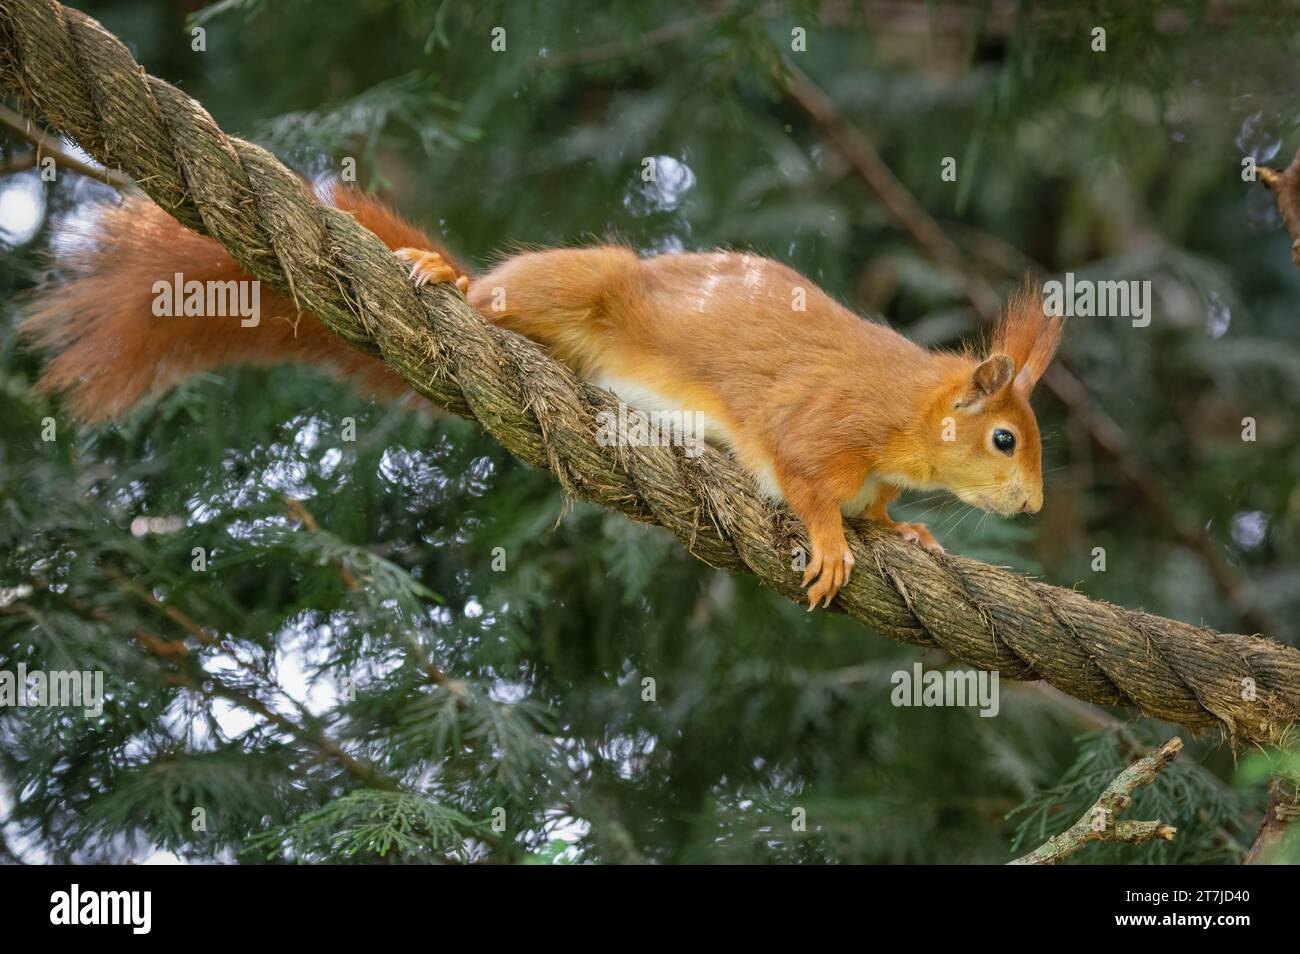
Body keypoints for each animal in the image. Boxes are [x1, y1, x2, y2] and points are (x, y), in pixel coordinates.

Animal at [21, 184, 1064, 609]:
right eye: (1007, 442)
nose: (1036, 507)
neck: (909, 415)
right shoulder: (825, 424)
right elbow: (807, 480)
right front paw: (838, 542)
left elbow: (880, 505)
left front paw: (904, 530)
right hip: (585, 286)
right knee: (502, 291)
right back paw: (445, 275)